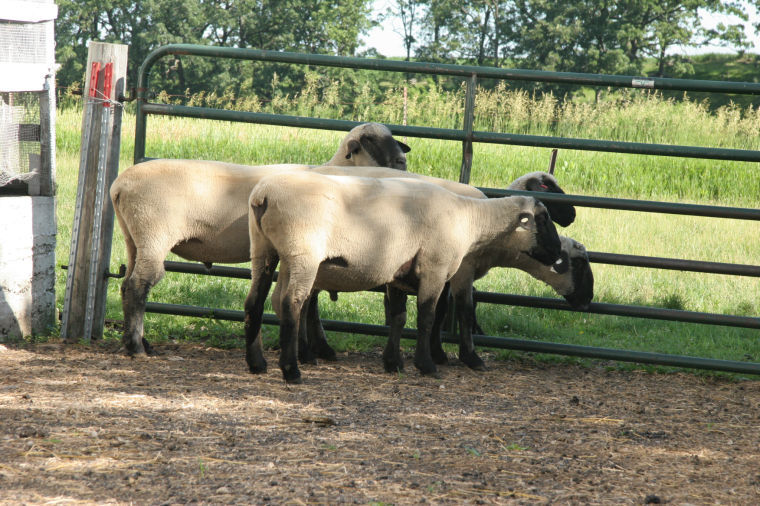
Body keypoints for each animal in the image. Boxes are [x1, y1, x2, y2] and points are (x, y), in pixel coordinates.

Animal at [110, 123, 410, 356]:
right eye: (371, 141)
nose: (403, 162)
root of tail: (119, 186)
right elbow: (310, 302)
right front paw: (316, 349)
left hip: (133, 237)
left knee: (126, 284)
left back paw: (138, 341)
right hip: (154, 233)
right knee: (139, 284)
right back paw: (136, 346)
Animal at [243, 172, 563, 383]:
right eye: (544, 218)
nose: (558, 253)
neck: (470, 218)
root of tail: (262, 195)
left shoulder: (398, 271)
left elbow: (398, 318)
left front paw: (393, 363)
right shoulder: (435, 267)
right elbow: (427, 317)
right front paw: (427, 365)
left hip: (264, 249)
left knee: (256, 303)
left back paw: (257, 363)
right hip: (303, 253)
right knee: (291, 304)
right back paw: (291, 370)